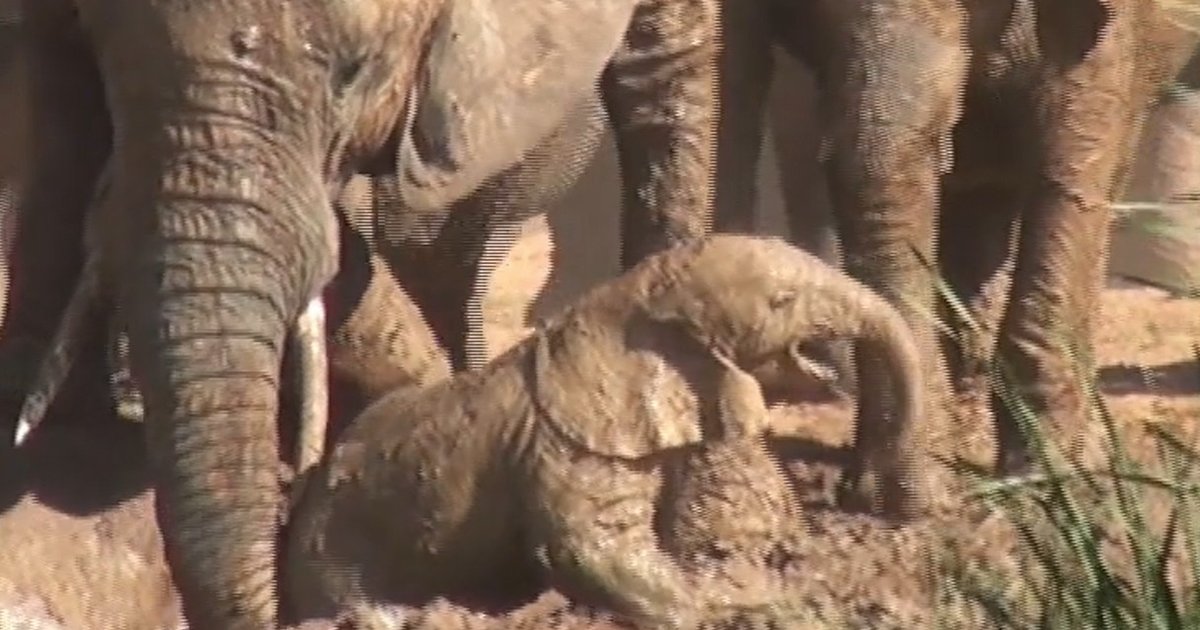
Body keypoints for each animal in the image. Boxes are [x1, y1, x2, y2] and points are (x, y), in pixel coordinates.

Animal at [283, 234, 926, 628]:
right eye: (782, 301)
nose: (864, 496)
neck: (627, 300)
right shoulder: (562, 445)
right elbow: (584, 549)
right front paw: (717, 608)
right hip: (335, 538)